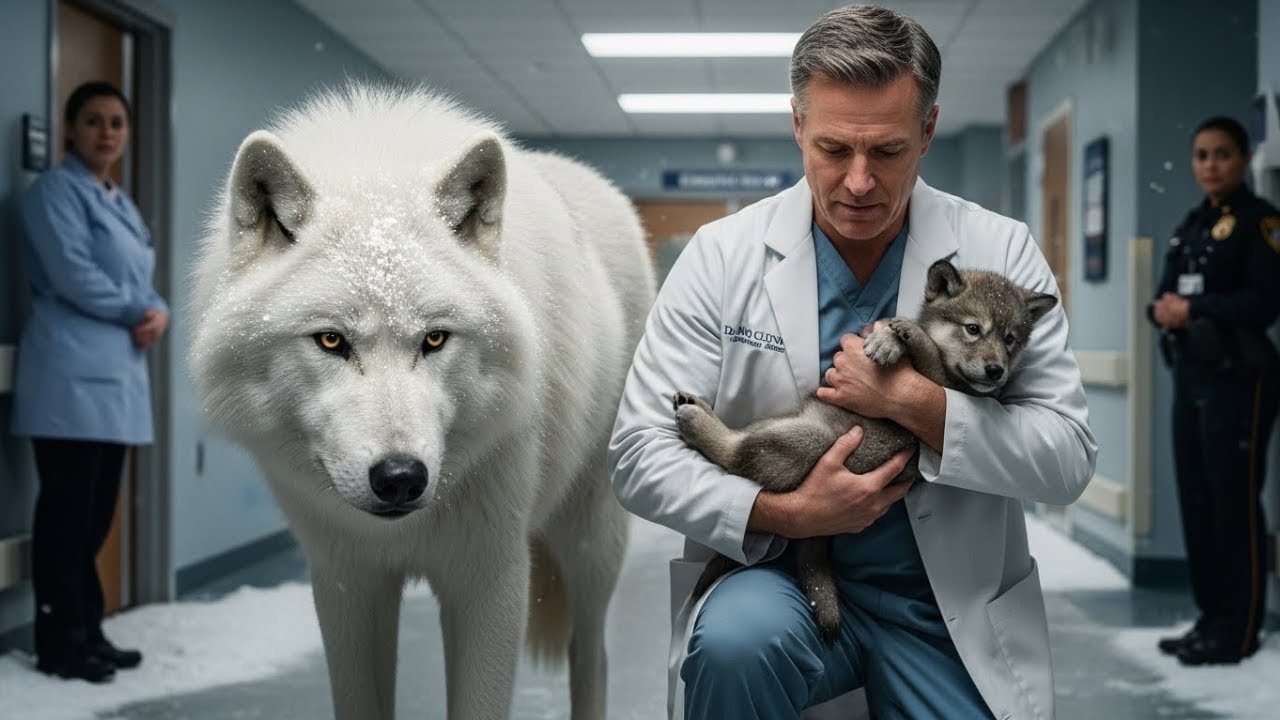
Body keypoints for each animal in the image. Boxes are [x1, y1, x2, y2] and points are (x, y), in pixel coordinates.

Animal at [187, 84, 655, 720]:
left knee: (592, 656)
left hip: (590, 543)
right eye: (330, 340)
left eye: (434, 339)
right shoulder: (346, 581)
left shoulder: (490, 578)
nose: (400, 478)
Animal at [672, 259, 1056, 643]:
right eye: (973, 329)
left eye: (1011, 339)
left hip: (806, 439)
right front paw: (888, 336)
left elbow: (929, 351)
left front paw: (906, 333)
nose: (996, 371)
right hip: (784, 424)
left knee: (735, 454)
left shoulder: (943, 390)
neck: (958, 381)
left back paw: (696, 420)